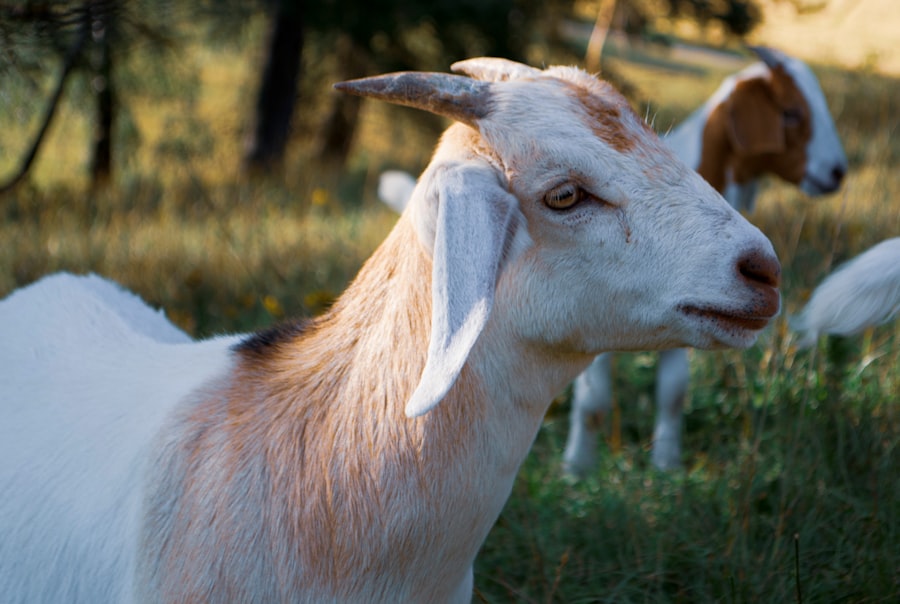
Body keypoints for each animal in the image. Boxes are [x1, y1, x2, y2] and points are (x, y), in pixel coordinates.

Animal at [563, 46, 847, 473]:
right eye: (791, 112)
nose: (837, 172)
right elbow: (593, 400)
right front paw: (577, 469)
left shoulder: (697, 306)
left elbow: (673, 391)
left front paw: (666, 465)